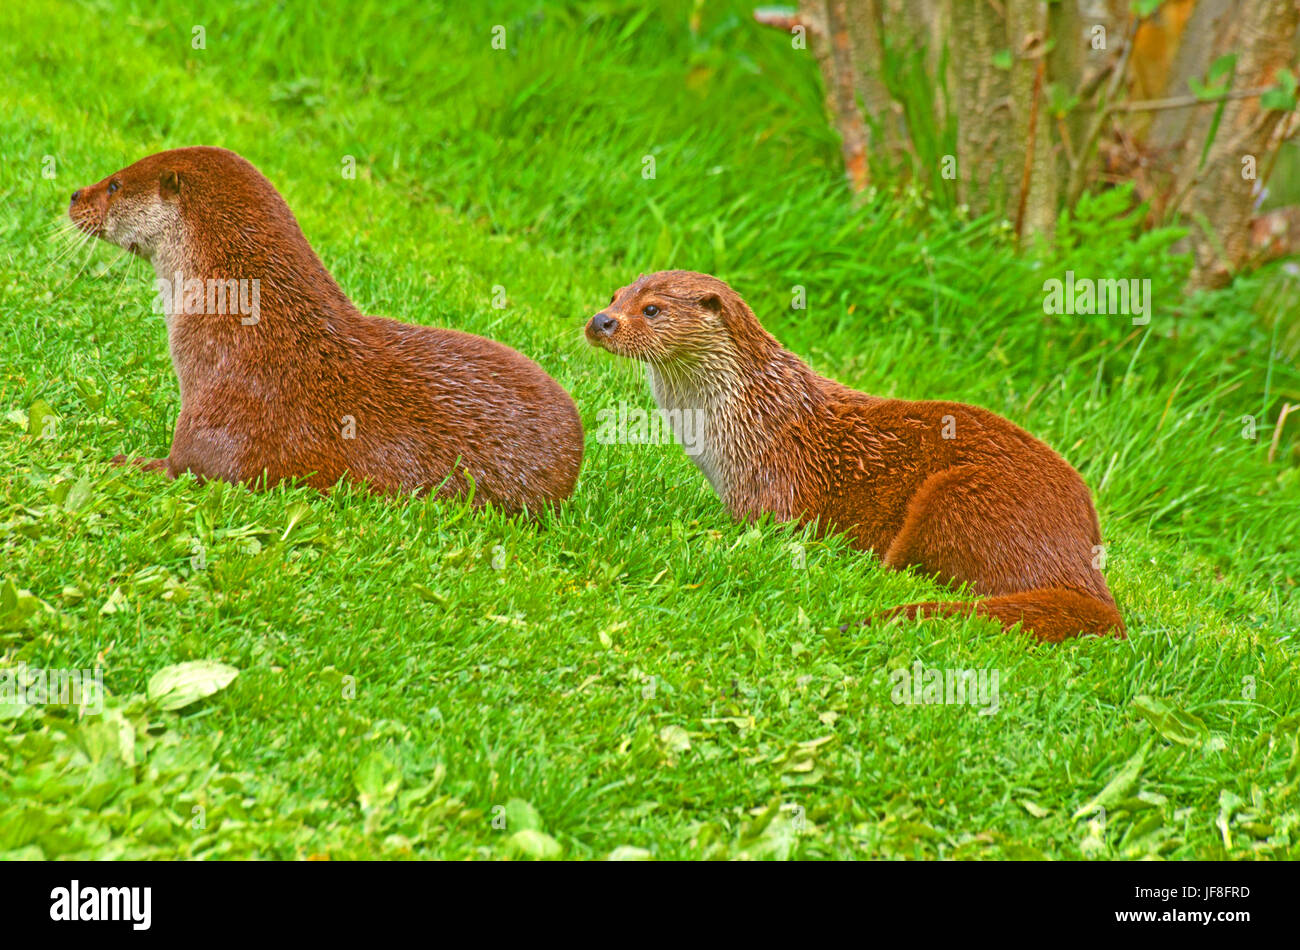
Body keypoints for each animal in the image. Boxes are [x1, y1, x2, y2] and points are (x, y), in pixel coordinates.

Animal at [68, 146, 582, 512]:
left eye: (114, 184)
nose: (74, 195)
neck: (245, 323)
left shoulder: (225, 412)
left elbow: (194, 468)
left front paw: (126, 461)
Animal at [585, 270, 1124, 643]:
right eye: (614, 295)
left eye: (652, 309)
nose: (600, 321)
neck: (749, 415)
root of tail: (1080, 562)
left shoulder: (773, 482)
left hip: (958, 495)